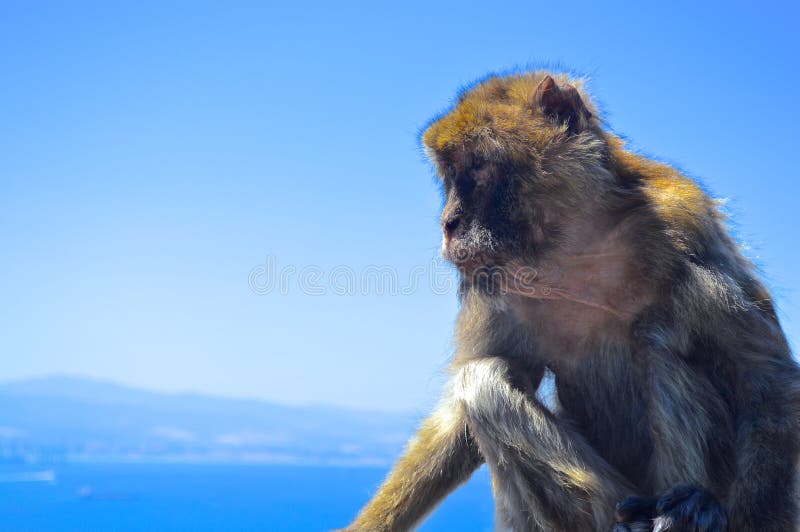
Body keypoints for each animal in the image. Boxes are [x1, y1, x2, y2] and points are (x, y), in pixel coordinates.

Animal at [340, 71, 800, 531]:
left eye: (478, 165)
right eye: (451, 172)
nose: (448, 222)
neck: (571, 245)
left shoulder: (684, 221)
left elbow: (766, 379)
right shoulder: (494, 279)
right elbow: (458, 415)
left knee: (660, 339)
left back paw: (683, 507)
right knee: (483, 381)